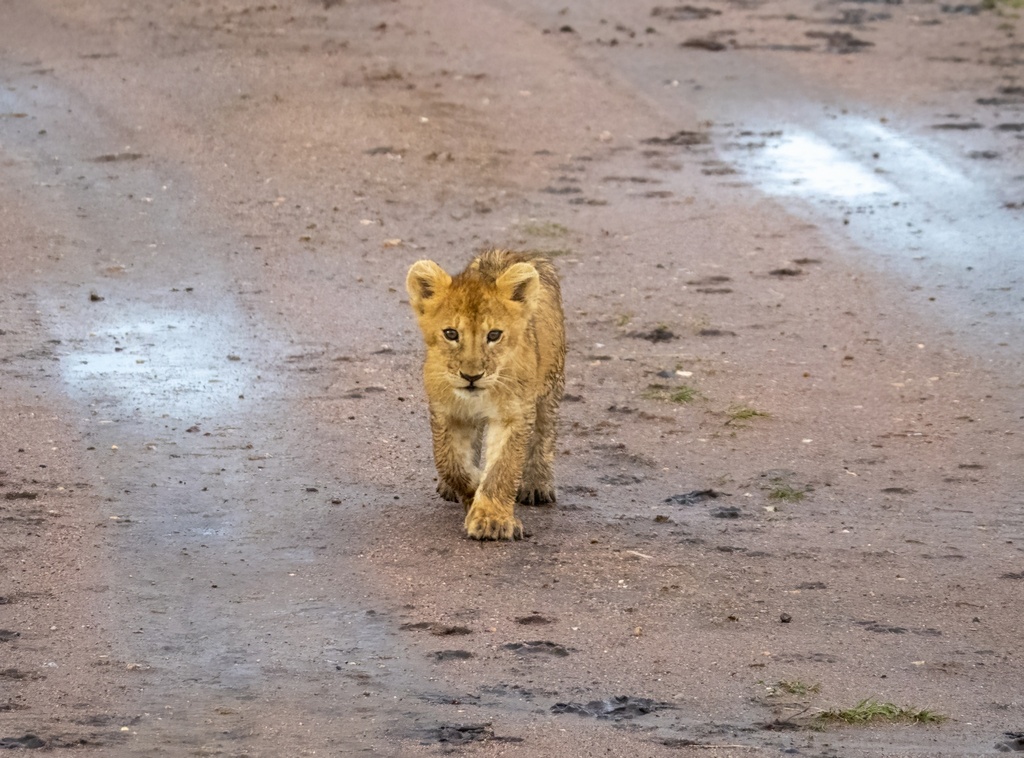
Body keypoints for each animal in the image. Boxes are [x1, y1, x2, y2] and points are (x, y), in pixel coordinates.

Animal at [405, 249, 566, 540]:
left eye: (494, 335)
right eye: (451, 333)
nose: (472, 376)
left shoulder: (513, 413)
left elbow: (503, 467)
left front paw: (492, 519)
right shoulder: (447, 411)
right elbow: (450, 462)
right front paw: (472, 486)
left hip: (551, 385)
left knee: (544, 433)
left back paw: (537, 485)